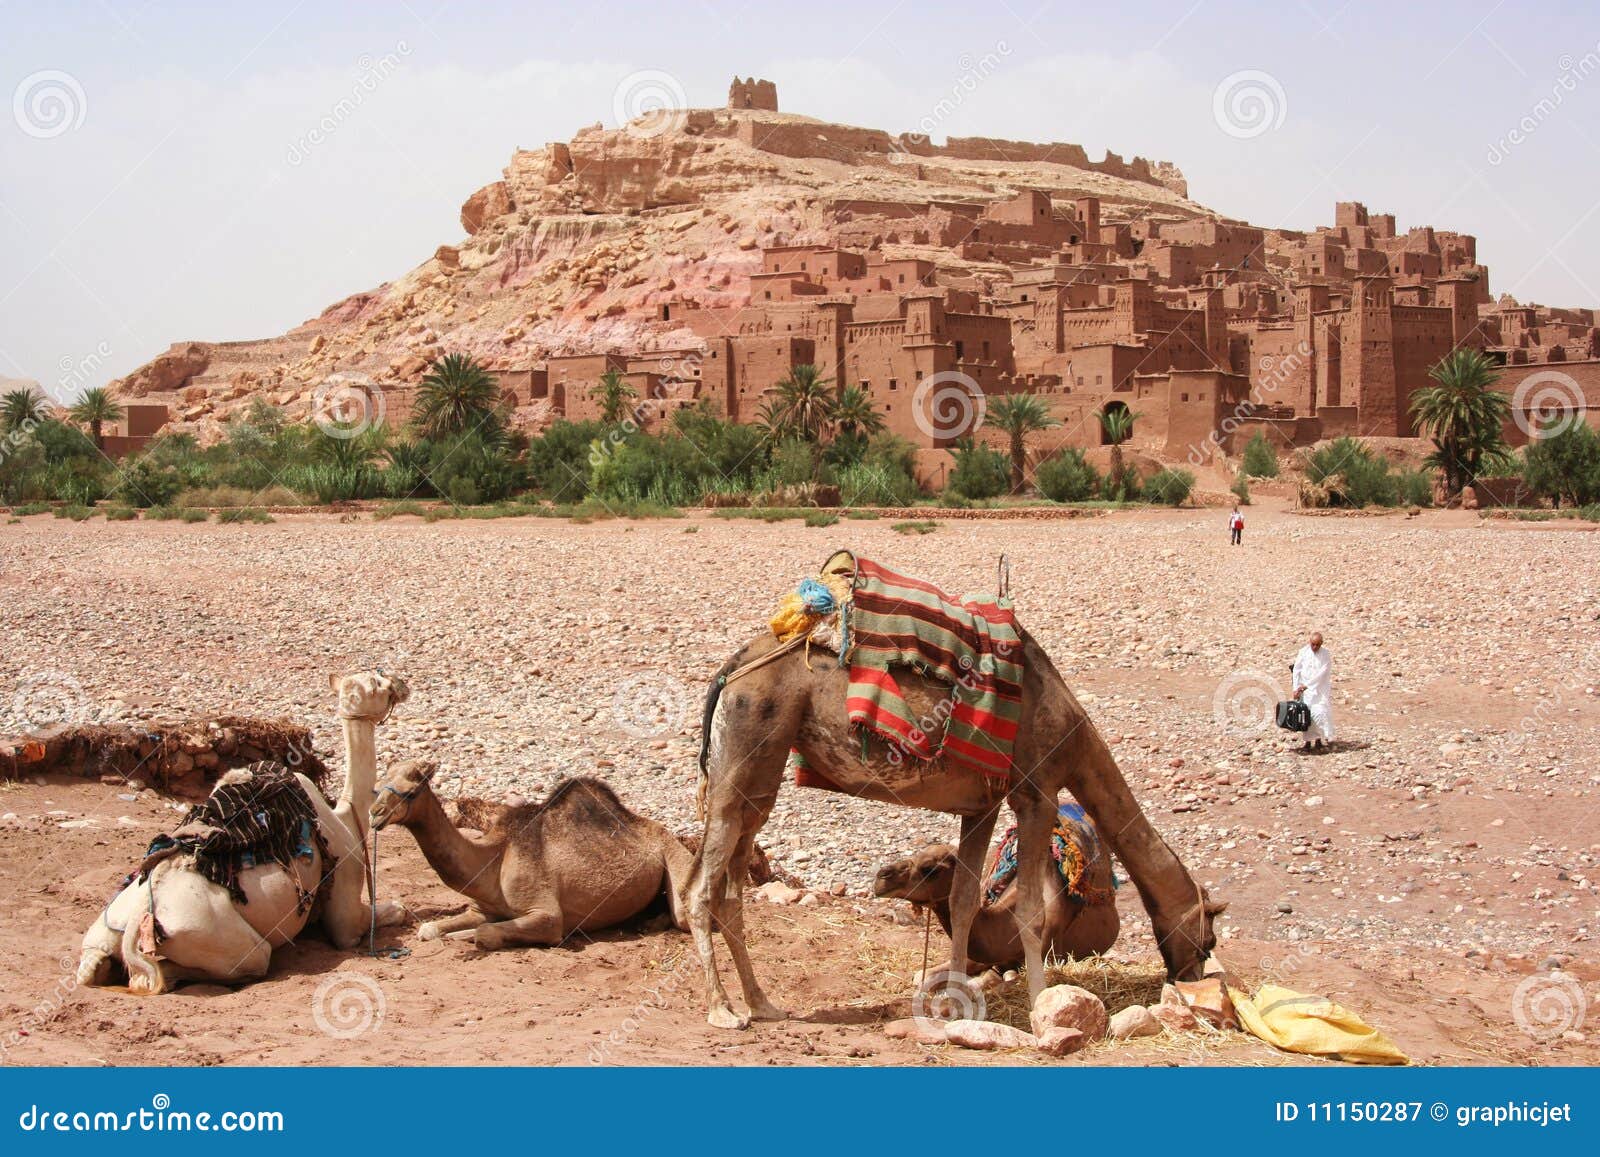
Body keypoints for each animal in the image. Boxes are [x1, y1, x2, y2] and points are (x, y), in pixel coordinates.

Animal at [76, 671, 409, 992]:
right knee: (221, 965)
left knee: (92, 968)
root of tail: (136, 921)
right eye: (377, 682)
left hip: (101, 933)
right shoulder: (345, 902)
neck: (347, 815)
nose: (401, 683)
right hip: (224, 942)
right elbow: (387, 914)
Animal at [369, 760, 694, 949]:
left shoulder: (547, 915)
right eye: (376, 788)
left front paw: (462, 936)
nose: (375, 814)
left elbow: (485, 933)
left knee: (683, 915)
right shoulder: (481, 907)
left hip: (673, 854)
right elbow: (429, 928)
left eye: (410, 792)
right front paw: (446, 932)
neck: (493, 858)